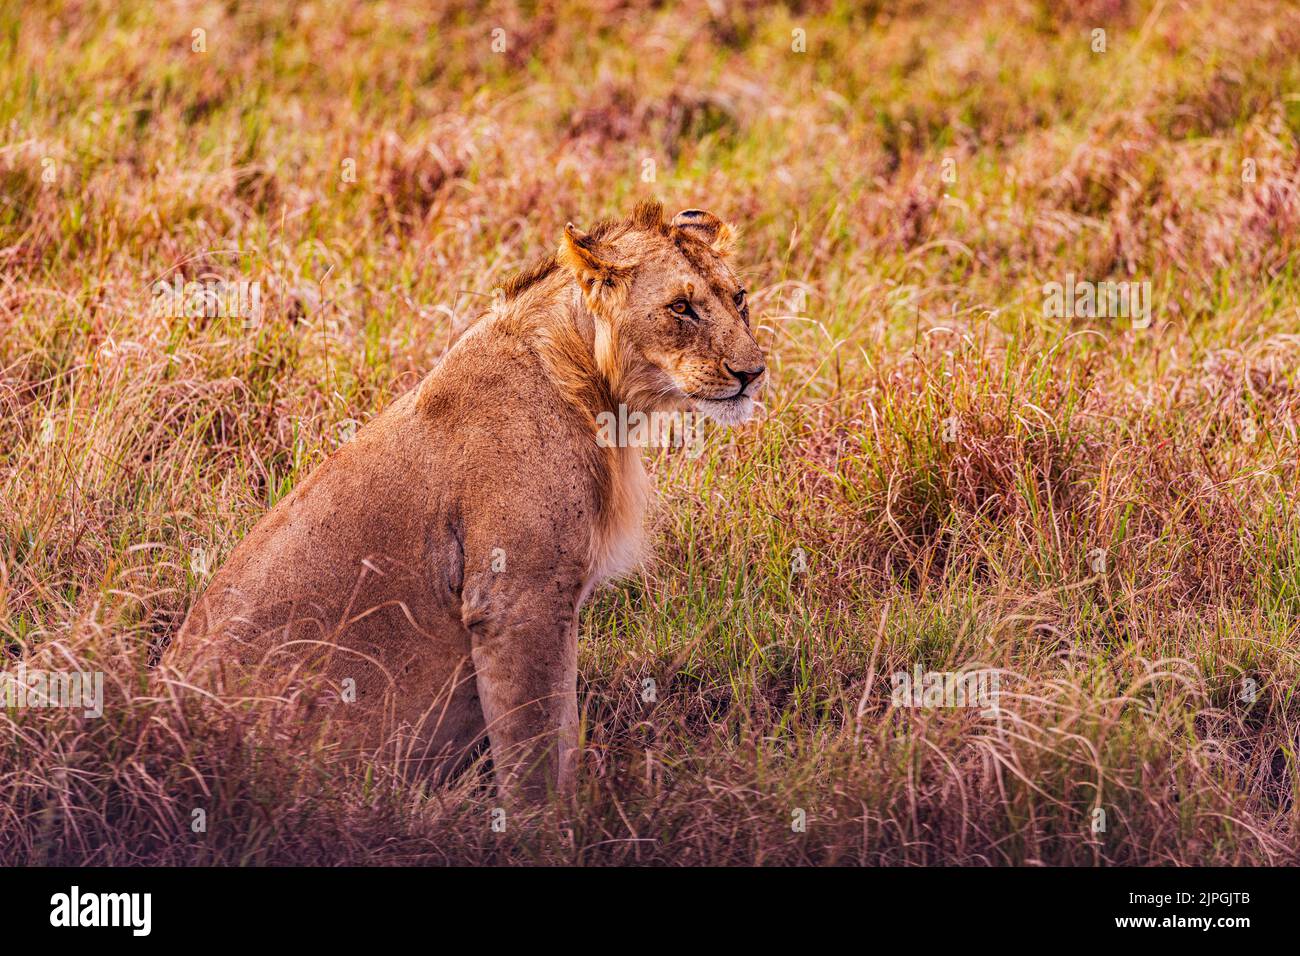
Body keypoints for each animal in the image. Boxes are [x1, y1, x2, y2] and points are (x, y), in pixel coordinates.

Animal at [167, 201, 766, 800]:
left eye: (738, 298)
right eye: (681, 307)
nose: (753, 373)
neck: (595, 391)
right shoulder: (517, 602)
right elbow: (539, 755)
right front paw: (551, 822)